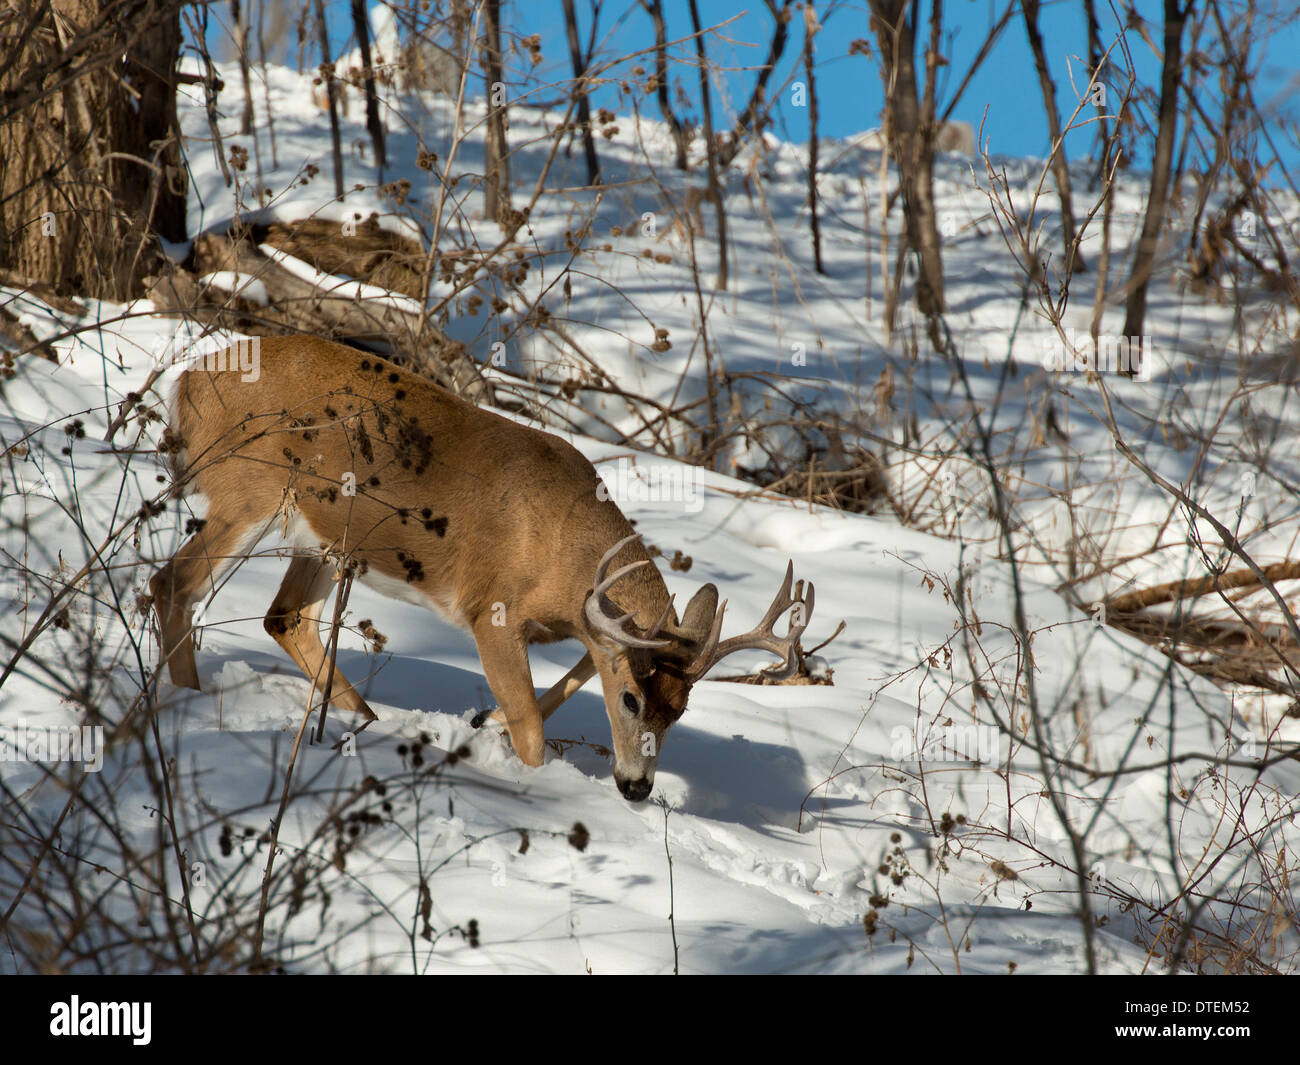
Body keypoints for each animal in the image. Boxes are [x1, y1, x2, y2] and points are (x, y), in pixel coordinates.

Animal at [148, 335, 814, 802]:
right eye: (629, 700)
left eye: (679, 710)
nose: (636, 788)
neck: (559, 551)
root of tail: (187, 383)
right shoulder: (490, 608)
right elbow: (531, 724)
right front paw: (532, 779)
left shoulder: (582, 622)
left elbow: (570, 674)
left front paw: (481, 719)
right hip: (249, 491)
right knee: (173, 582)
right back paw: (185, 701)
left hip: (323, 536)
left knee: (284, 617)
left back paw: (366, 720)